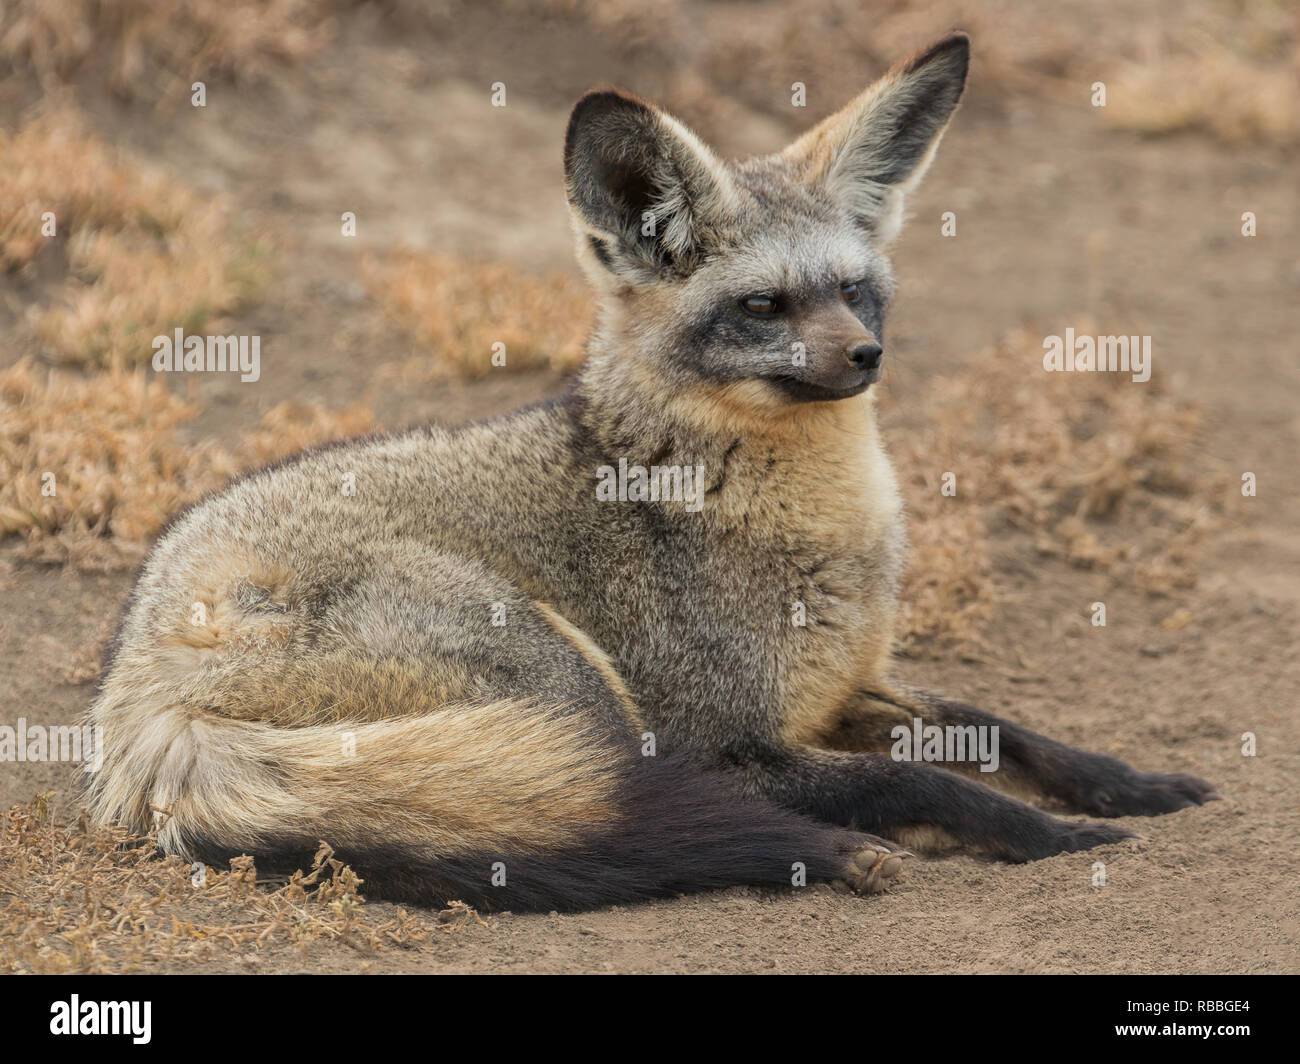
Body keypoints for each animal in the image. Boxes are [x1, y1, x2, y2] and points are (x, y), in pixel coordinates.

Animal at [85, 33, 1218, 912]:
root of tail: (136, 703)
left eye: (855, 290)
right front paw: (1046, 836)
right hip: (578, 693)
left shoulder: (839, 689)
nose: (865, 358)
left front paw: (1127, 783)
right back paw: (826, 857)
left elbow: (1003, 728)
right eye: (762, 306)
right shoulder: (725, 740)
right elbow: (923, 781)